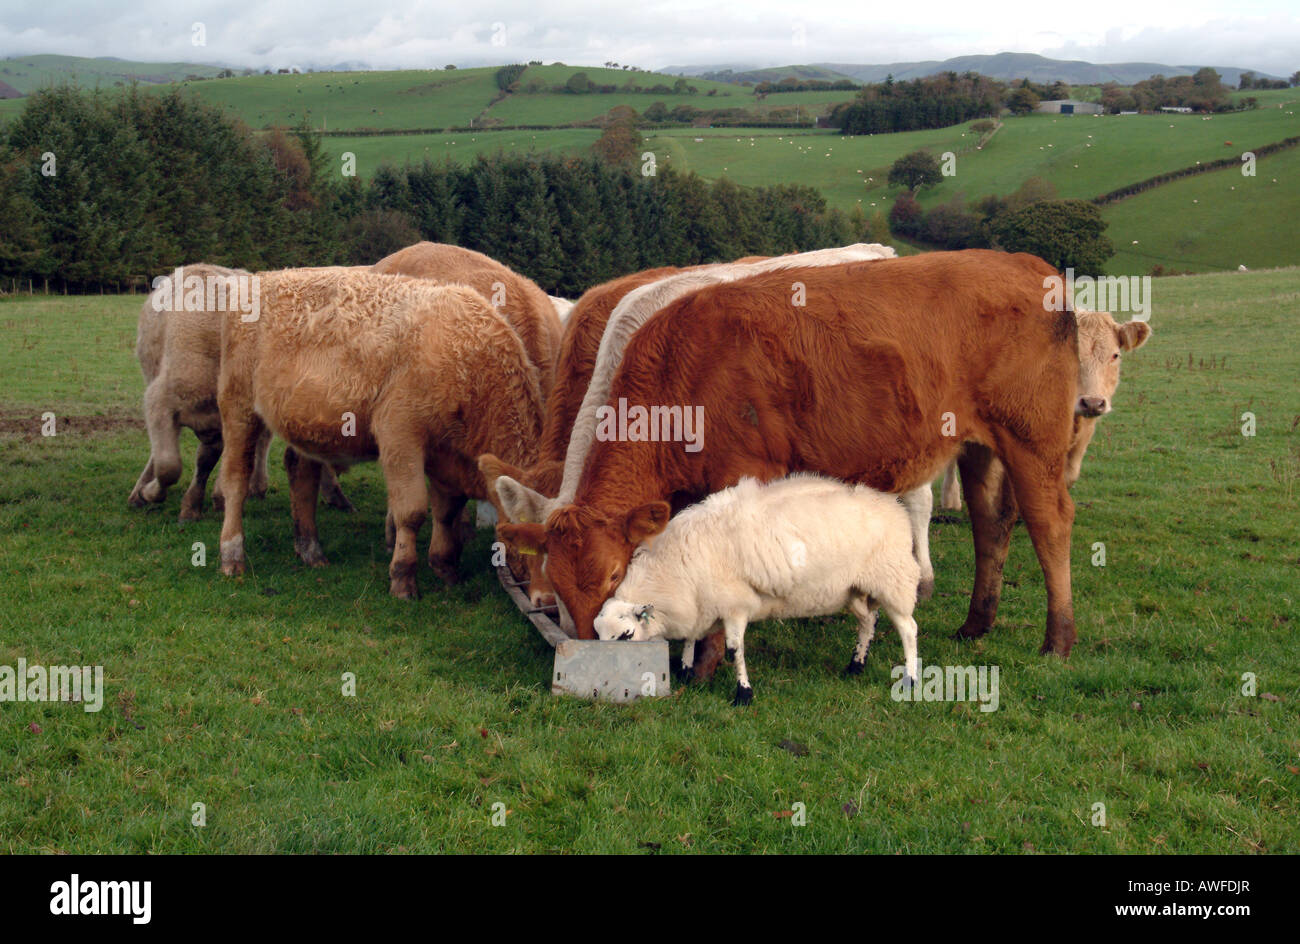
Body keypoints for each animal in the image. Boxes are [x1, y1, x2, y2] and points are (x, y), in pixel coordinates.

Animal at [216, 268, 543, 597]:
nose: (545, 601)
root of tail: (261, 278)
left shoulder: (447, 455)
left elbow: (447, 511)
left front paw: (446, 568)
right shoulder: (400, 433)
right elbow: (412, 512)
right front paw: (403, 578)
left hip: (304, 422)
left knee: (301, 475)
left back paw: (310, 550)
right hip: (238, 407)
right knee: (235, 478)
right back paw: (232, 555)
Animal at [496, 250, 1085, 656]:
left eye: (614, 575)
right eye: (552, 575)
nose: (587, 640)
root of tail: (1023, 263)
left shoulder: (742, 475)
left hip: (1033, 440)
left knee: (1050, 523)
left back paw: (1057, 638)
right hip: (979, 446)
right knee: (991, 524)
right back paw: (975, 624)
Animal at [593, 473, 921, 705]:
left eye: (626, 635)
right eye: (599, 636)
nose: (606, 672)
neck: (672, 573)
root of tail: (894, 509)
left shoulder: (734, 604)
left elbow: (734, 649)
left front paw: (743, 694)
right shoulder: (703, 603)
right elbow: (692, 637)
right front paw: (685, 670)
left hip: (894, 581)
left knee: (908, 629)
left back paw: (910, 679)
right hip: (852, 589)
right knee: (867, 621)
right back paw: (855, 665)